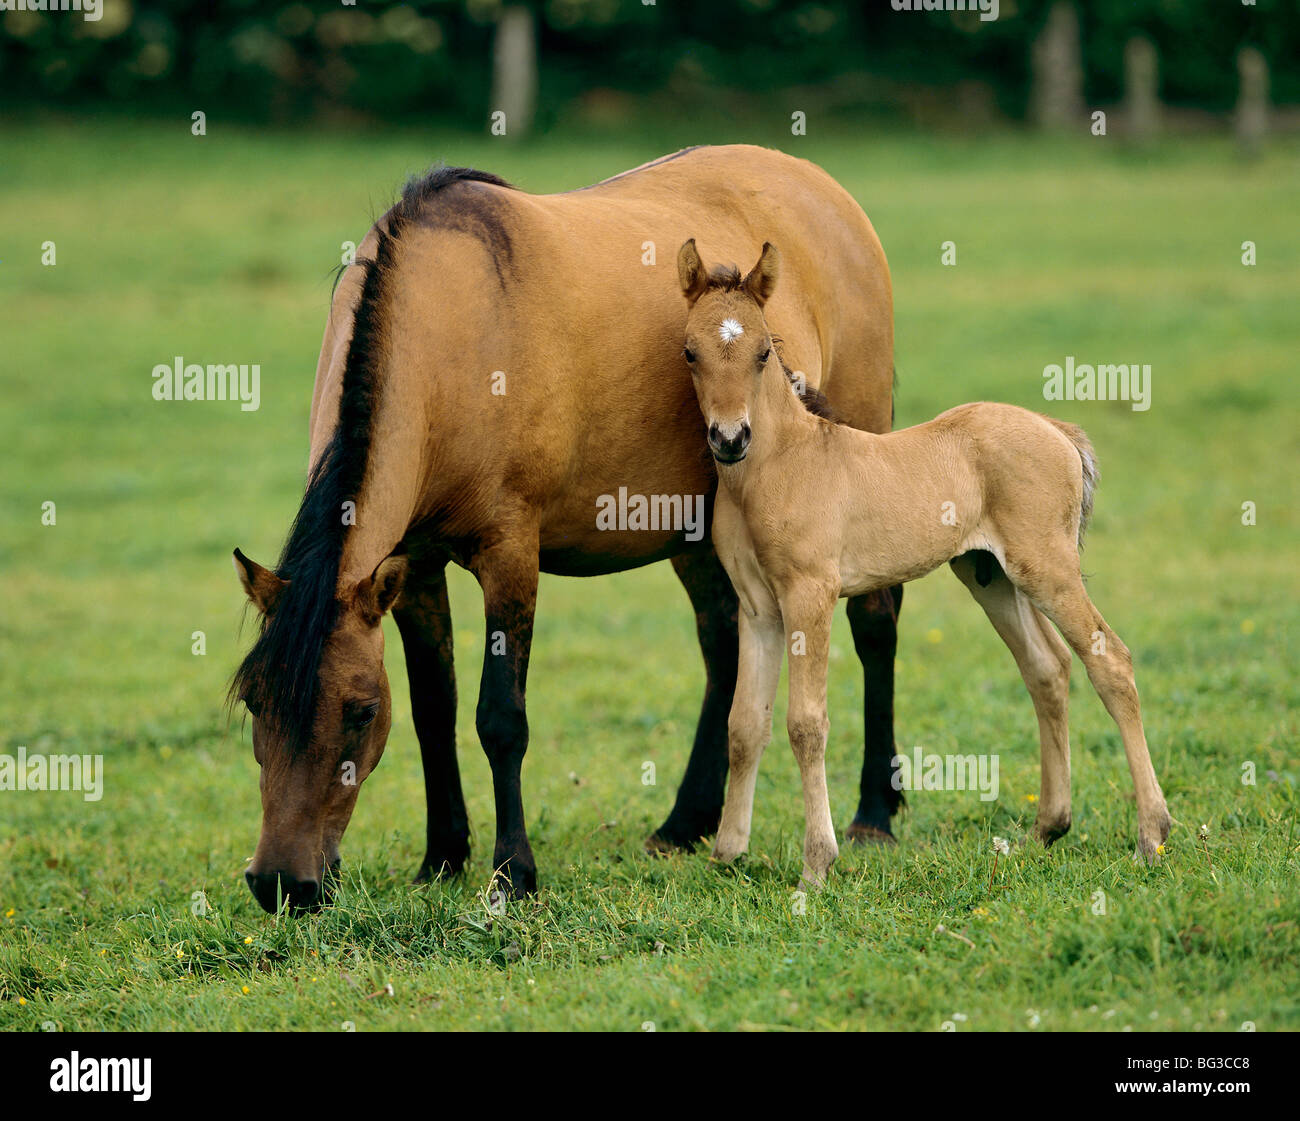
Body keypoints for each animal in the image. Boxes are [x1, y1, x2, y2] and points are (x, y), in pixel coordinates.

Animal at [230, 146, 901, 912]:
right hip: (700, 526)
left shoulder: (509, 554)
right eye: (254, 701)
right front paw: (443, 856)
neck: (448, 331)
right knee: (724, 646)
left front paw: (512, 872)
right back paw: (686, 823)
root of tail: (823, 188)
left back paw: (874, 813)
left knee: (875, 625)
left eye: (360, 711)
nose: (281, 883)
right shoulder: (413, 567)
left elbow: (500, 718)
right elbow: (435, 708)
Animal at [675, 238, 1172, 888]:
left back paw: (1152, 834)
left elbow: (806, 724)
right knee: (1047, 668)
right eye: (690, 352)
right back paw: (1048, 827)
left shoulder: (809, 596)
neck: (776, 466)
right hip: (990, 575)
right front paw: (727, 854)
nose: (730, 438)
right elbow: (744, 724)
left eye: (762, 353)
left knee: (1108, 659)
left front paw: (816, 866)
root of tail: (1056, 428)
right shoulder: (759, 609)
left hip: (1047, 568)